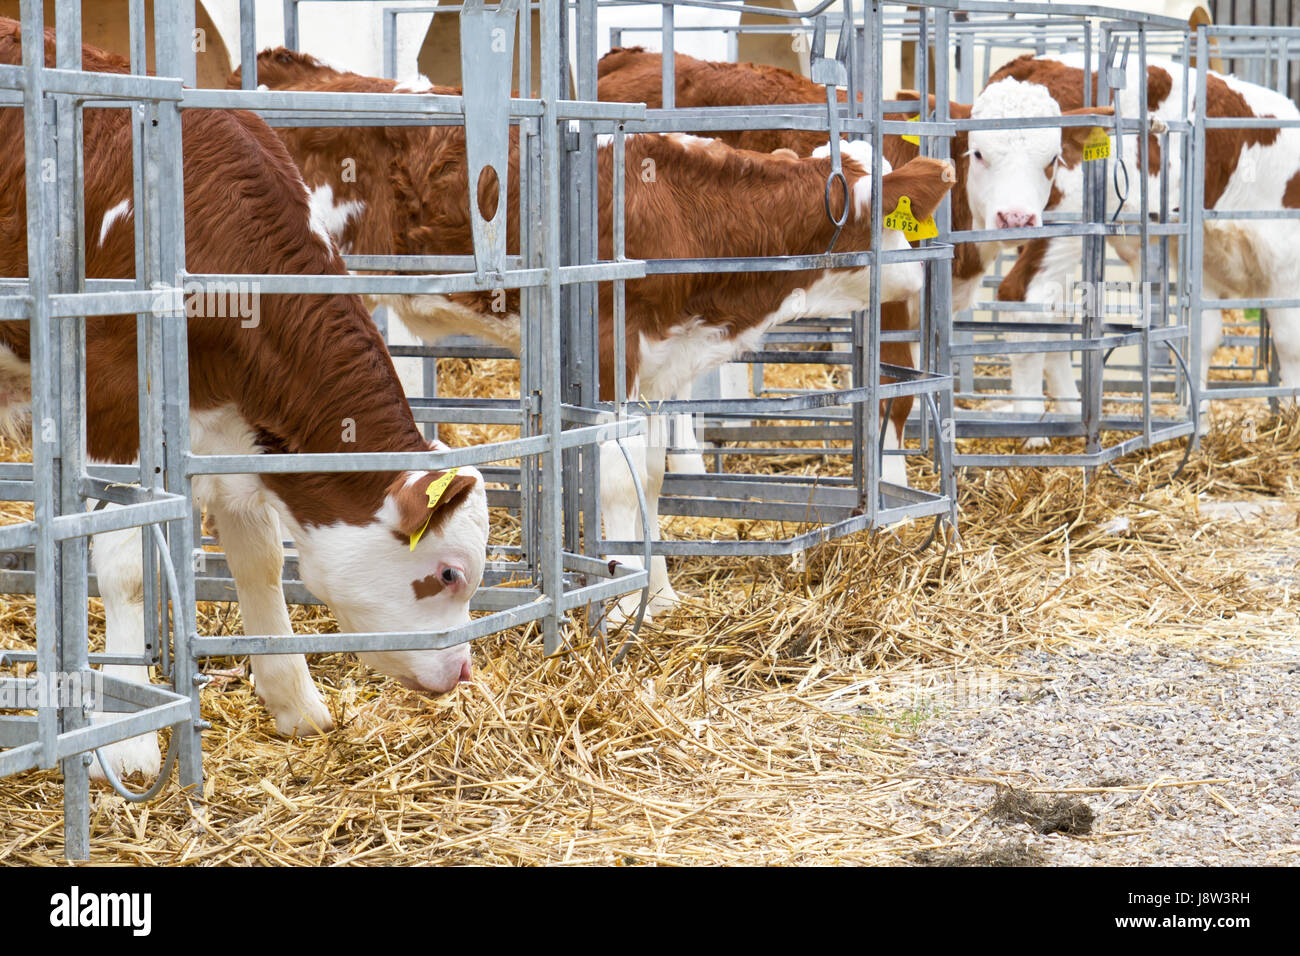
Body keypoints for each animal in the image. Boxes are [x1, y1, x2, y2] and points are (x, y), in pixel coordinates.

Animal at [0, 20, 490, 779]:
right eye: (447, 574)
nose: (462, 671)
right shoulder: (113, 399)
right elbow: (125, 565)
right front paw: (128, 739)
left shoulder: (235, 424)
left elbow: (257, 555)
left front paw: (295, 701)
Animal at [236, 48, 956, 619]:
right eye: (904, 220)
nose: (927, 278)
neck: (684, 209)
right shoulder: (612, 349)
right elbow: (615, 474)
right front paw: (621, 606)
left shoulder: (662, 364)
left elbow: (655, 473)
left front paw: (660, 593)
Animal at [968, 53, 1300, 431]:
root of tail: (1030, 64)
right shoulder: (1286, 259)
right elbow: (1290, 339)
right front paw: (1294, 413)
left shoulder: (1207, 260)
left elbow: (1204, 334)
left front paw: (1198, 415)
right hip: (1058, 228)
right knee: (1024, 300)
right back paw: (1032, 425)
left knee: (1053, 314)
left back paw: (1069, 411)